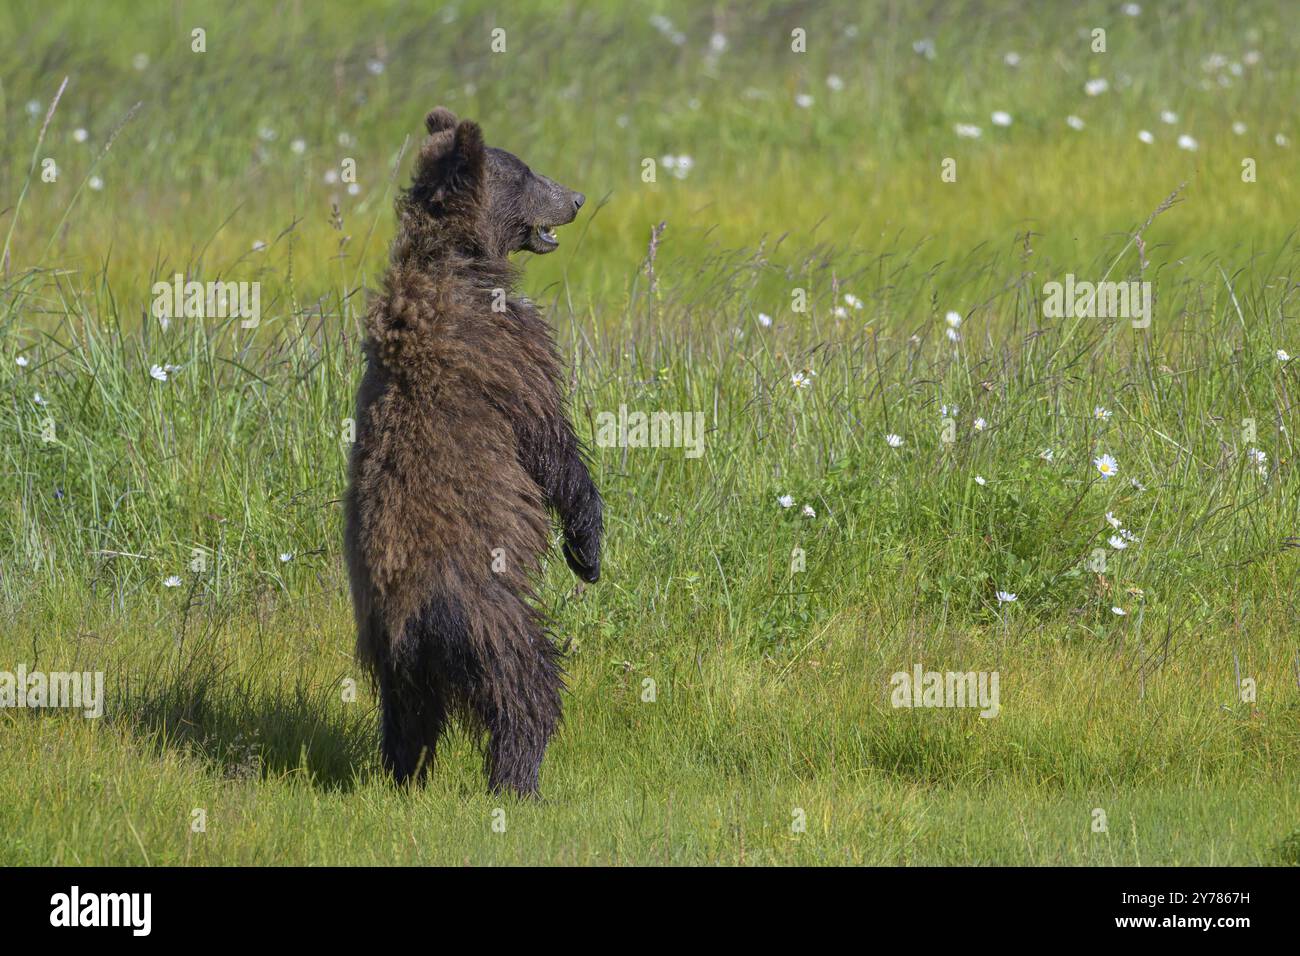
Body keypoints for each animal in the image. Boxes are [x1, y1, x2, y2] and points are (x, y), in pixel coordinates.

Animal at [343, 107, 603, 797]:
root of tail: (412, 620)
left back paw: (401, 774)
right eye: (528, 172)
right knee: (527, 682)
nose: (576, 197)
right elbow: (550, 441)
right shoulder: (509, 348)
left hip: (391, 656)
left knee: (406, 715)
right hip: (489, 614)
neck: (460, 260)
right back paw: (518, 777)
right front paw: (588, 548)